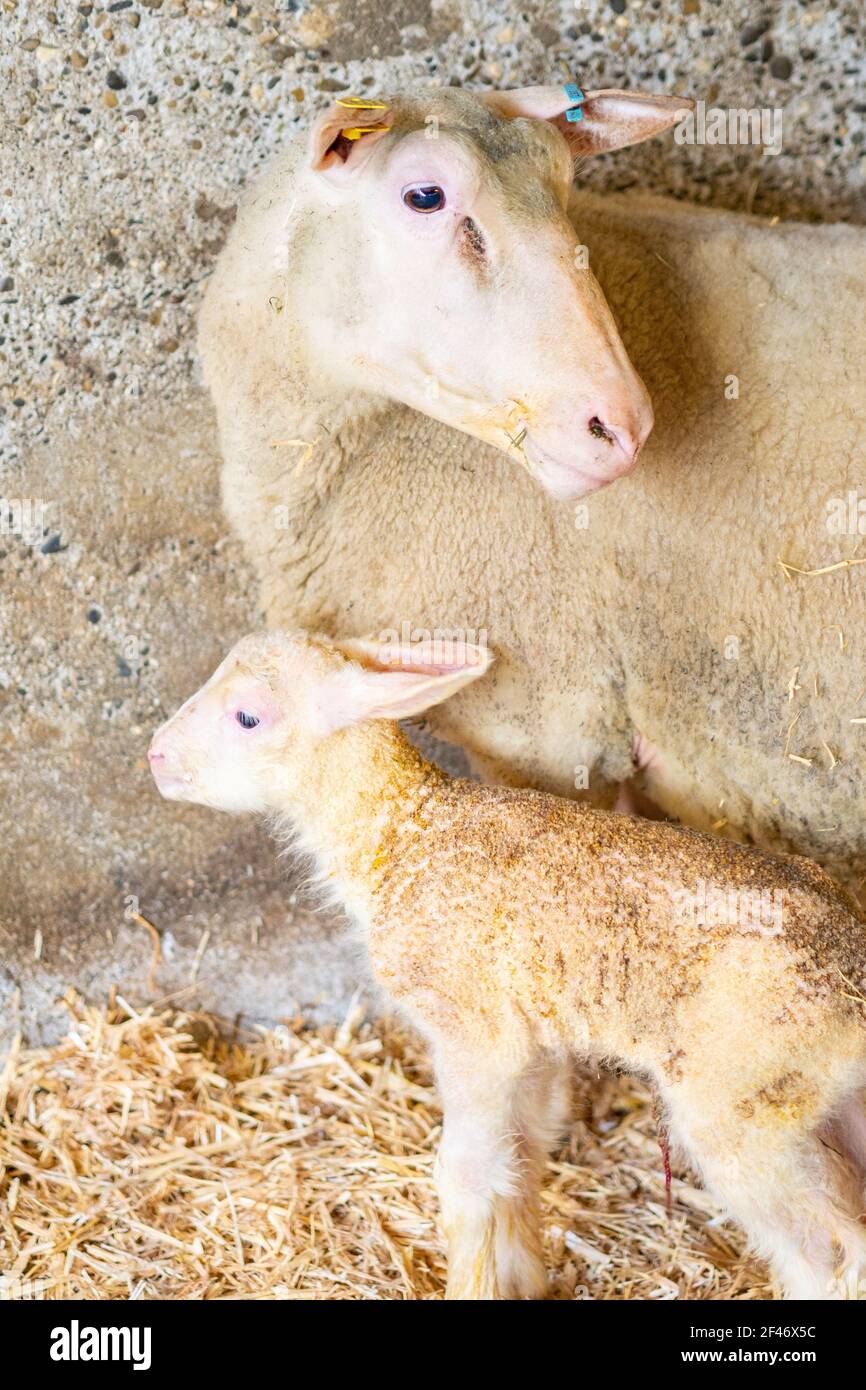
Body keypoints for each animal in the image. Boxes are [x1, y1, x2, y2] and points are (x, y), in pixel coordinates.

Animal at [149, 630, 866, 1300]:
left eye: (248, 717)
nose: (155, 756)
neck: (405, 834)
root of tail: (853, 972)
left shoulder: (473, 1029)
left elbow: (468, 1175)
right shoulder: (533, 1043)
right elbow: (521, 1155)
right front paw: (520, 1276)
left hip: (743, 1101)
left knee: (830, 1247)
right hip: (826, 1100)